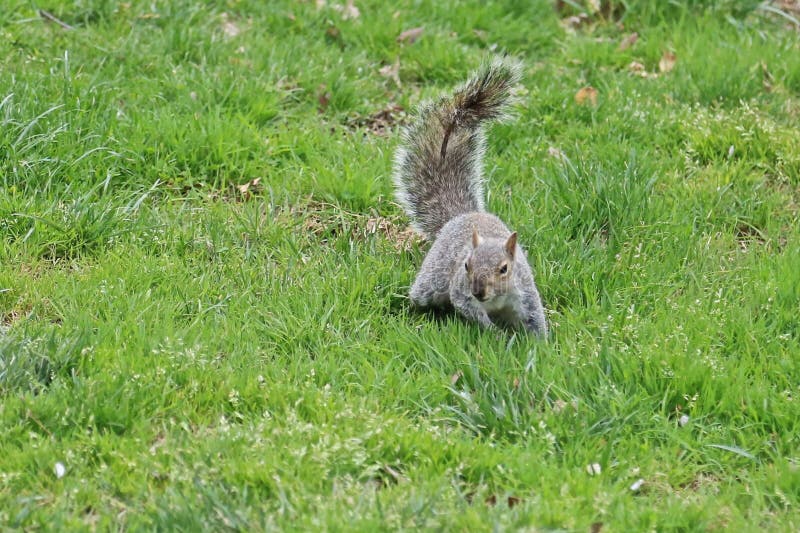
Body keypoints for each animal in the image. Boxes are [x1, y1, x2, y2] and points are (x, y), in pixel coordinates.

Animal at [392, 58, 547, 335]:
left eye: (504, 269)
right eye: (466, 265)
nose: (478, 291)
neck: (496, 300)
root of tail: (464, 215)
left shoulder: (525, 294)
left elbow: (535, 320)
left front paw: (544, 343)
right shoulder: (461, 291)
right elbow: (469, 308)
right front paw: (496, 334)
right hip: (434, 277)